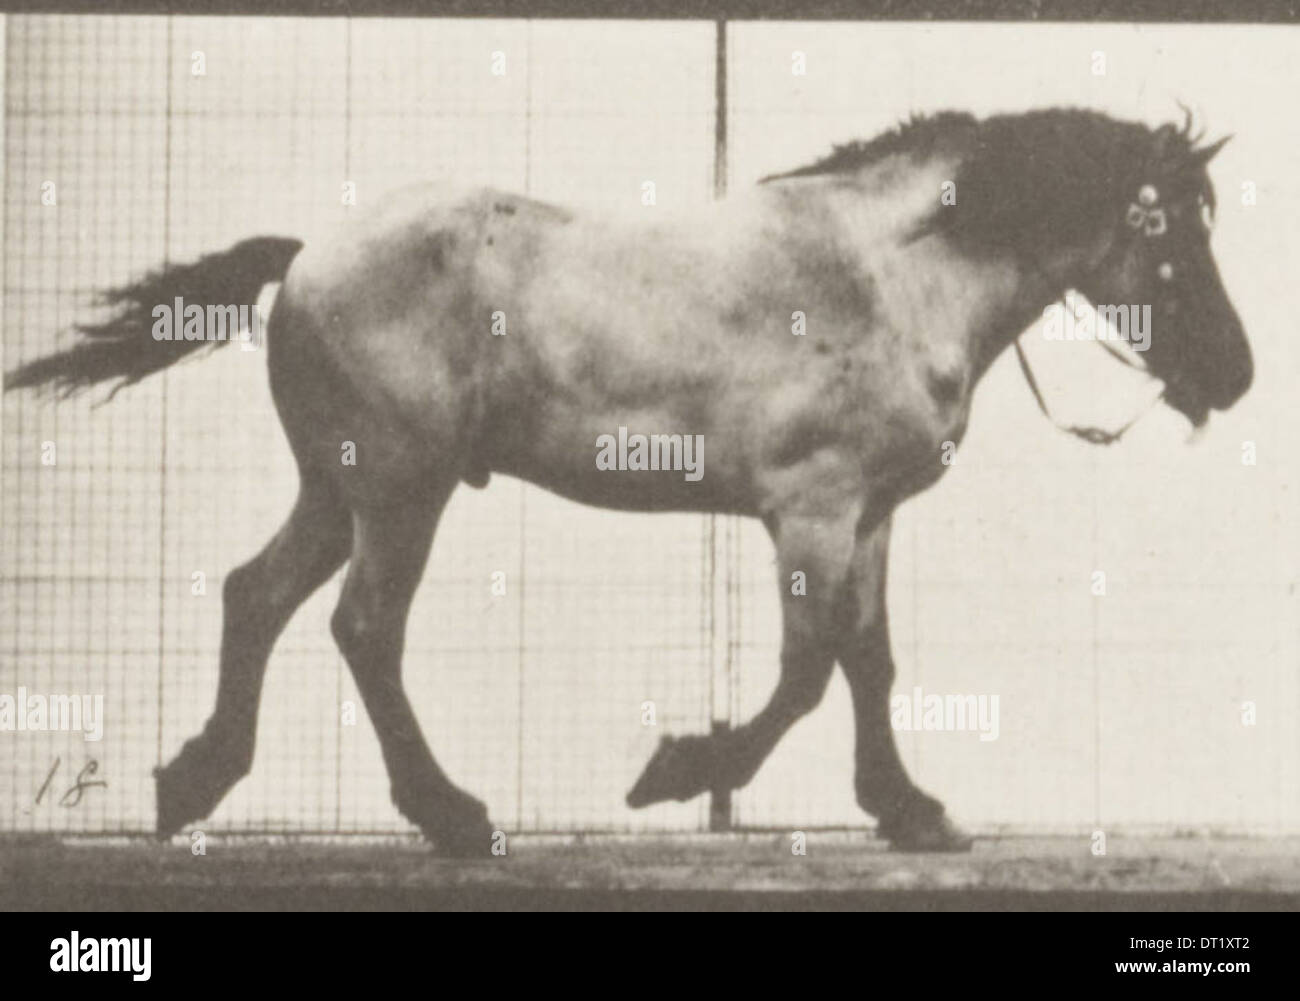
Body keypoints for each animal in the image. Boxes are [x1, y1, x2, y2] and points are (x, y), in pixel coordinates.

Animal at [4, 107, 1252, 853]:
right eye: (1166, 235)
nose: (1235, 374)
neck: (884, 276)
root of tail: (308, 255)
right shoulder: (809, 511)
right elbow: (806, 671)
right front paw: (678, 767)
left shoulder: (871, 515)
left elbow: (868, 660)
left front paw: (908, 808)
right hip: (399, 495)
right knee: (363, 627)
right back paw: (451, 814)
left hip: (338, 490)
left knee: (255, 595)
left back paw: (194, 781)